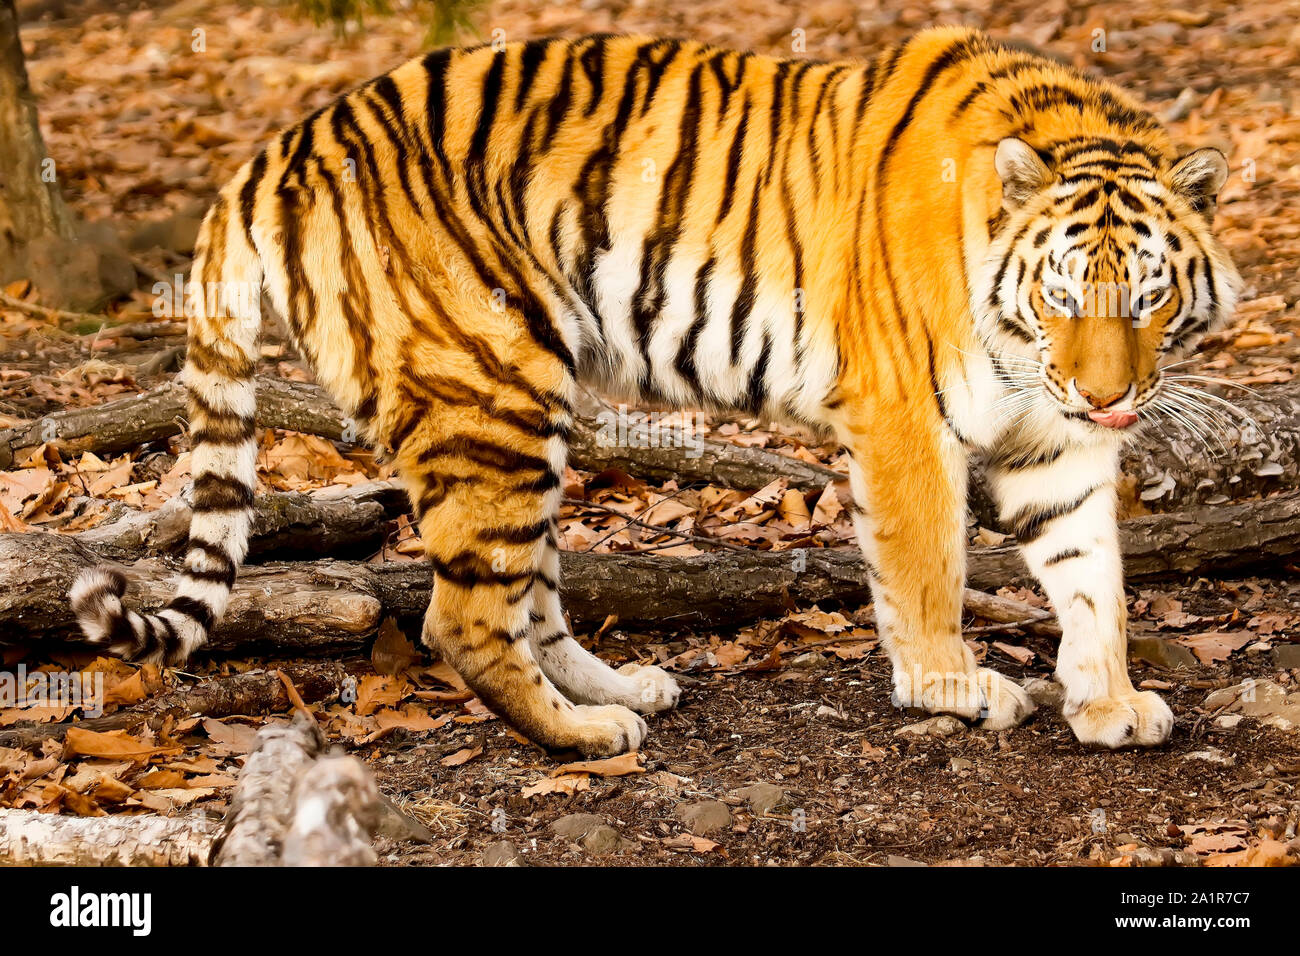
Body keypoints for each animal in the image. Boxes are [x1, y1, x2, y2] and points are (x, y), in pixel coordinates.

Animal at [70, 26, 1240, 755]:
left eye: (1146, 296)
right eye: (1060, 294)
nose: (1110, 400)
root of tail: (281, 145)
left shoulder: (1057, 440)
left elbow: (1093, 579)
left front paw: (1108, 701)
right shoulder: (906, 418)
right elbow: (928, 573)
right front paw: (952, 686)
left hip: (524, 417)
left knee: (527, 593)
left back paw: (621, 692)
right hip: (490, 392)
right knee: (461, 616)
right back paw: (584, 737)